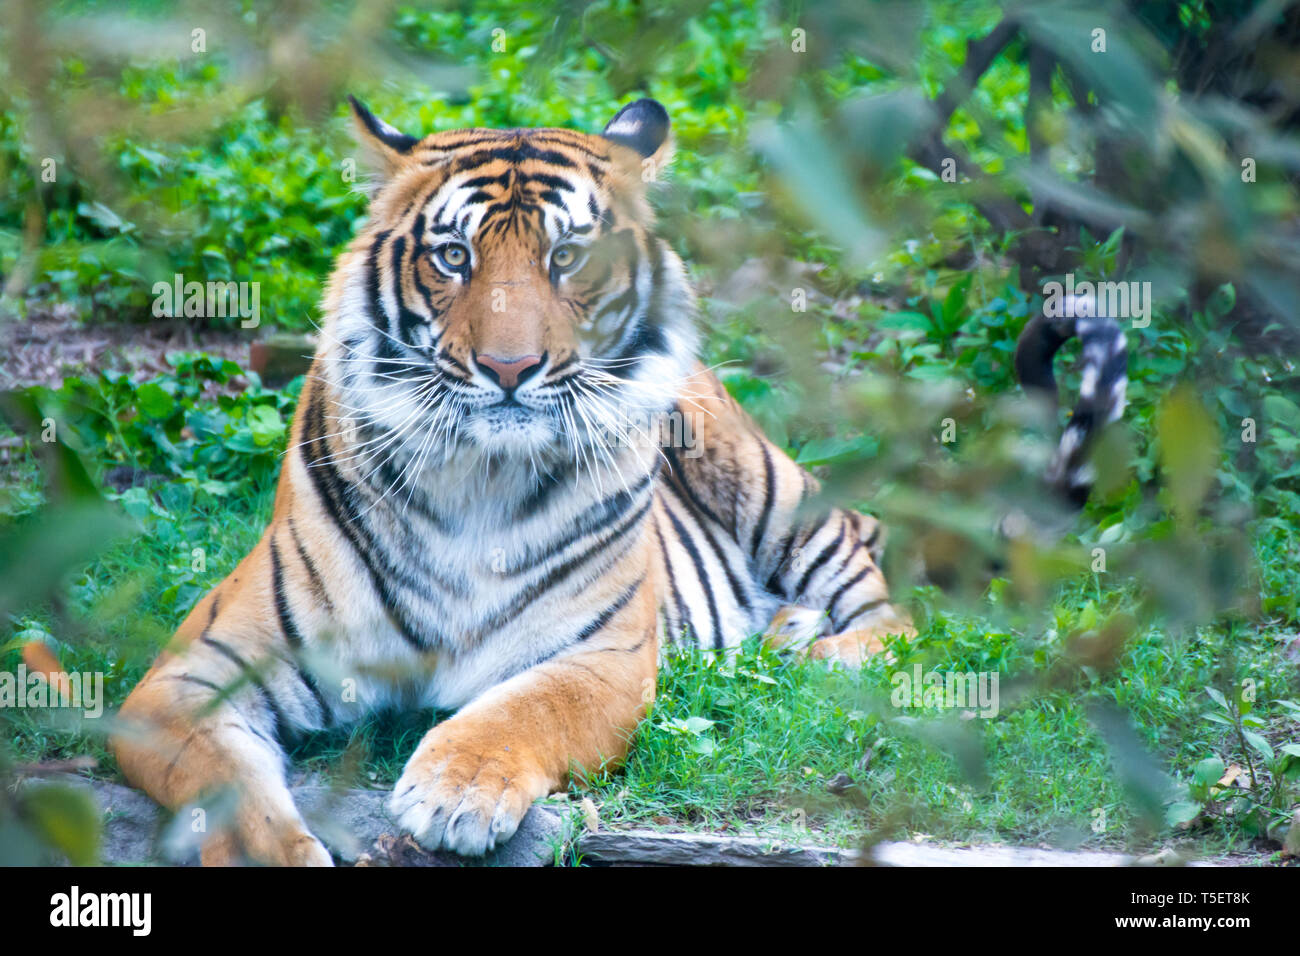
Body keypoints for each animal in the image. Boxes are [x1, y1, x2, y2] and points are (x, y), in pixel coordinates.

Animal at [111, 97, 1121, 866]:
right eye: (453, 256)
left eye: (568, 257)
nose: (510, 368)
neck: (471, 477)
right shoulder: (192, 672)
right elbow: (223, 782)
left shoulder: (602, 656)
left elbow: (525, 710)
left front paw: (455, 790)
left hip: (772, 488)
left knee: (888, 605)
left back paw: (807, 647)